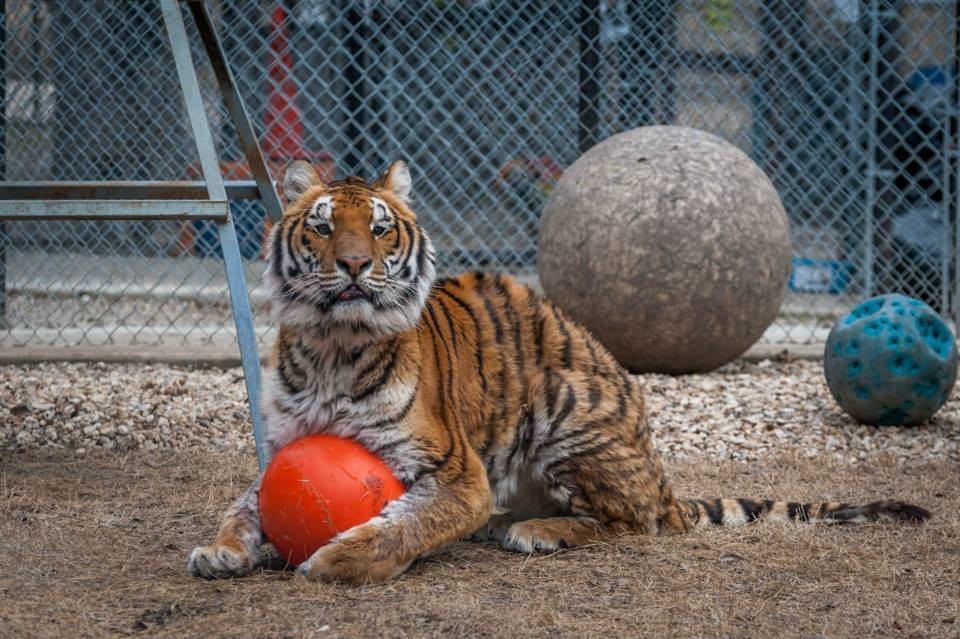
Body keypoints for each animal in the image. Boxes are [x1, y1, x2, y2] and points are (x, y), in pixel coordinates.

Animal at [187, 159, 930, 584]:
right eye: (320, 226)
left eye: (378, 227)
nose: (351, 264)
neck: (330, 348)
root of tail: (662, 479)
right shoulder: (280, 451)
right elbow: (243, 507)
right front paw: (219, 551)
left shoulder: (457, 471)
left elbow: (402, 525)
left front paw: (335, 558)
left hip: (566, 406)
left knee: (634, 524)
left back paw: (533, 531)